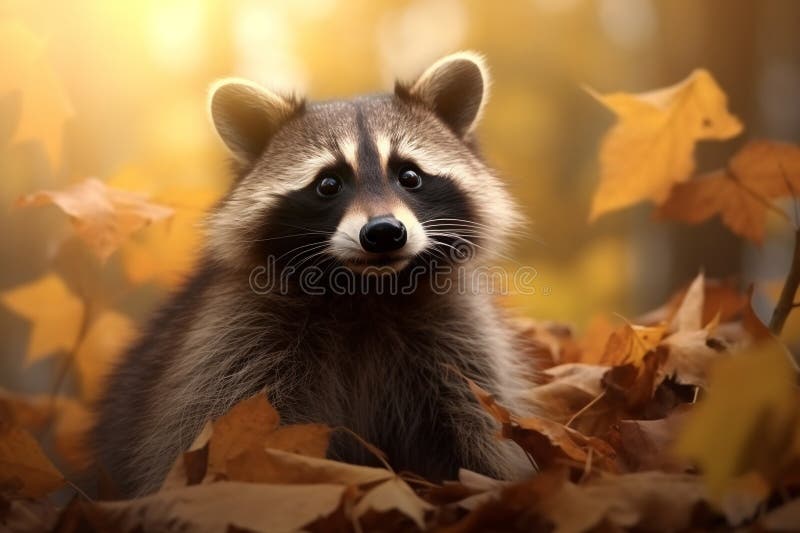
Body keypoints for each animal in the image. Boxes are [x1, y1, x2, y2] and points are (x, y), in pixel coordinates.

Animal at [94, 52, 534, 496]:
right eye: (328, 184)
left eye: (409, 176)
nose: (384, 233)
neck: (366, 290)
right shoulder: (234, 339)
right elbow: (200, 426)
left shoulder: (459, 335)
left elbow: (481, 429)